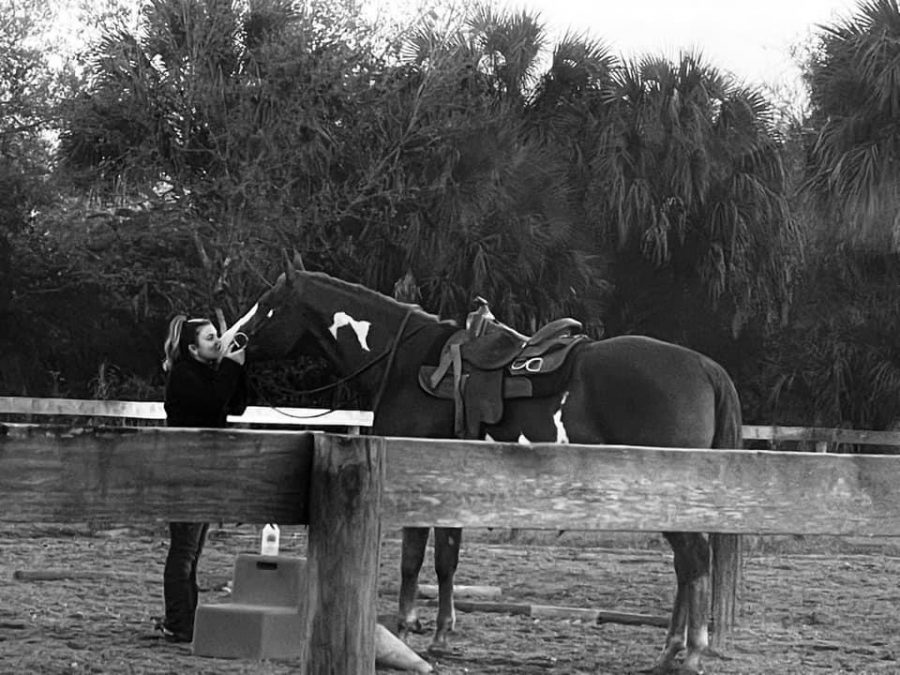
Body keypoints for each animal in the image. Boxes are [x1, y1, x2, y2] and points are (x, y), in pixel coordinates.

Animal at [236, 261, 743, 675]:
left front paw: (406, 627)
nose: (229, 343)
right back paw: (670, 651)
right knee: (686, 567)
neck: (406, 361)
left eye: (267, 306)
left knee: (694, 561)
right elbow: (447, 558)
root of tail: (704, 366)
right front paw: (442, 632)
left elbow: (413, 557)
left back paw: (691, 653)